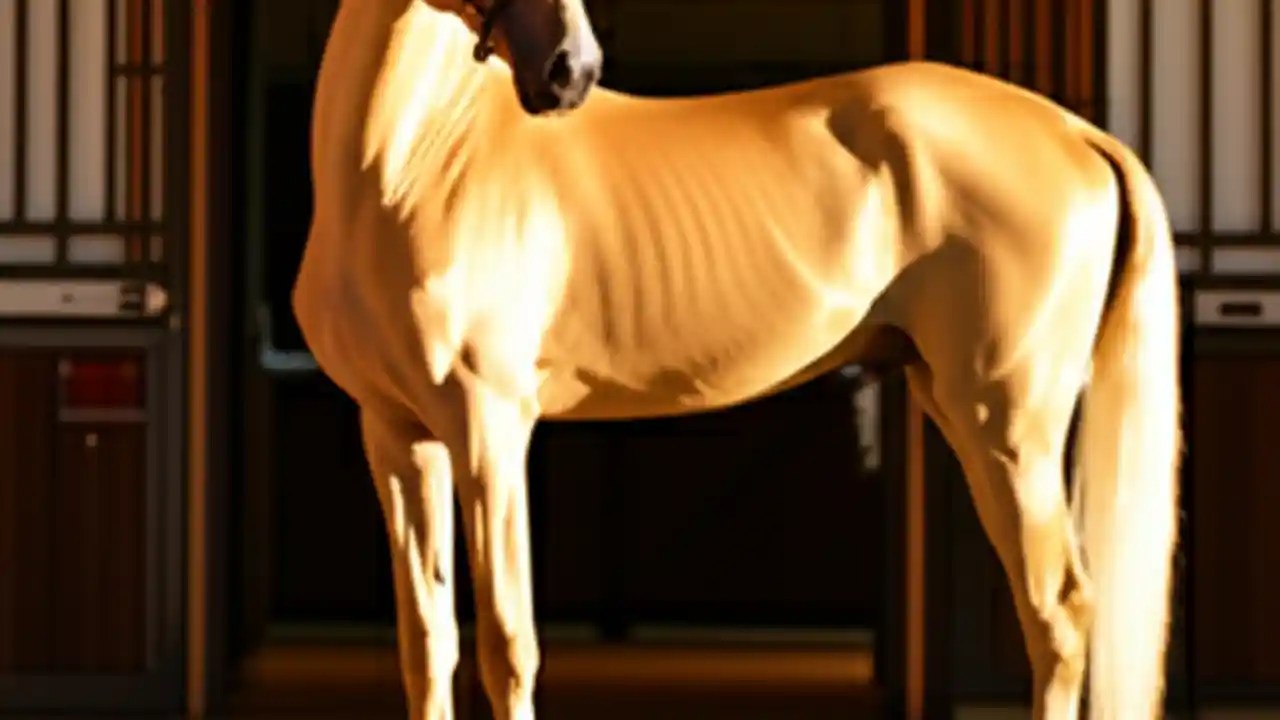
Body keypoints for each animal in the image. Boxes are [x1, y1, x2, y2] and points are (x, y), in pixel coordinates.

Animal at [293, 1, 1182, 718]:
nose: (570, 70)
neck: (417, 165)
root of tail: (1075, 132)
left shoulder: (491, 432)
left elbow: (507, 646)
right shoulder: (399, 435)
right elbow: (428, 644)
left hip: (1009, 423)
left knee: (1059, 613)